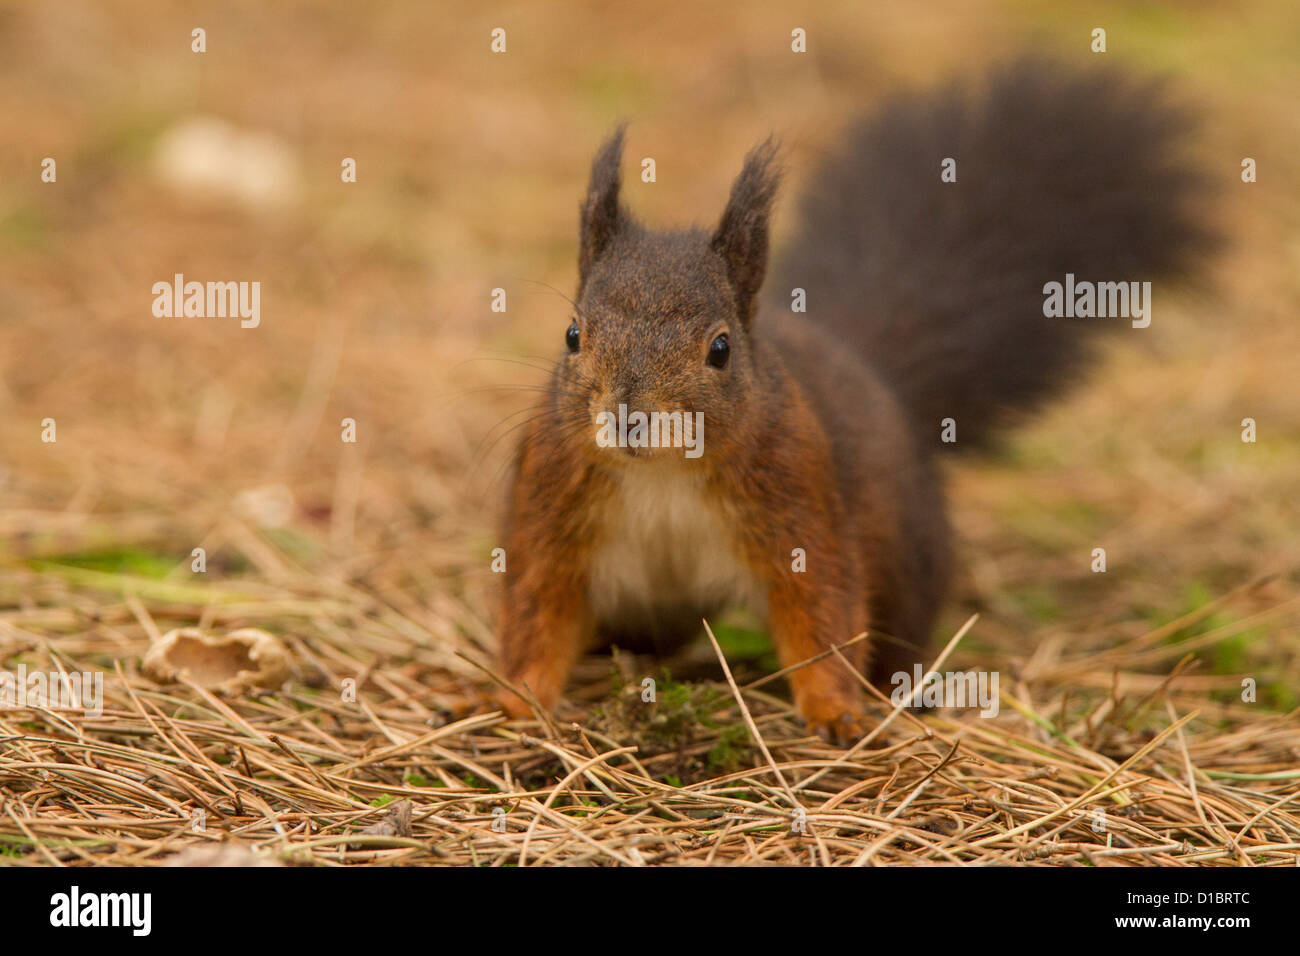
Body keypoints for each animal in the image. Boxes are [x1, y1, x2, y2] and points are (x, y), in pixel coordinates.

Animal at [493, 57, 1211, 742]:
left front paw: (836, 711)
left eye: (720, 349)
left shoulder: (799, 502)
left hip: (911, 557)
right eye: (572, 335)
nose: (629, 416)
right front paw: (514, 702)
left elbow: (822, 613)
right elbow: (537, 610)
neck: (663, 475)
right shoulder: (551, 506)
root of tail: (872, 373)